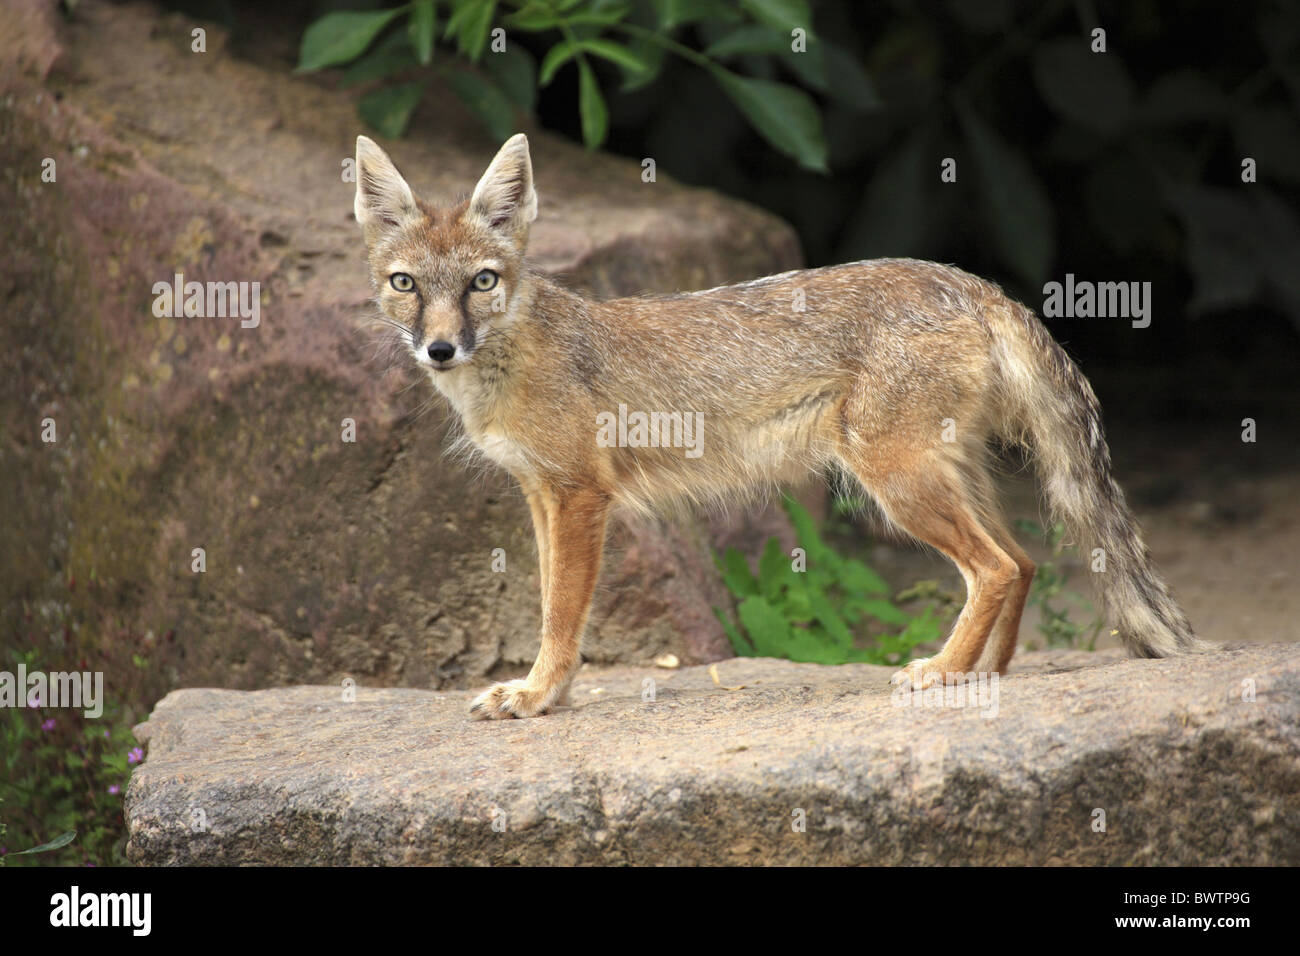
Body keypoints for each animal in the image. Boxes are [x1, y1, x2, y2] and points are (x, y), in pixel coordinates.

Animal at [352, 132, 1207, 719]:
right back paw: (979, 675)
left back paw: (940, 671)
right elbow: (547, 603)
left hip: (895, 483)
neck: (511, 362)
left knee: (995, 568)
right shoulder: (541, 497)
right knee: (1023, 562)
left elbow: (563, 614)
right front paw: (541, 692)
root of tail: (977, 285)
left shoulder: (579, 497)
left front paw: (538, 696)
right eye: (405, 285)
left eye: (481, 282)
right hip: (942, 478)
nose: (439, 348)